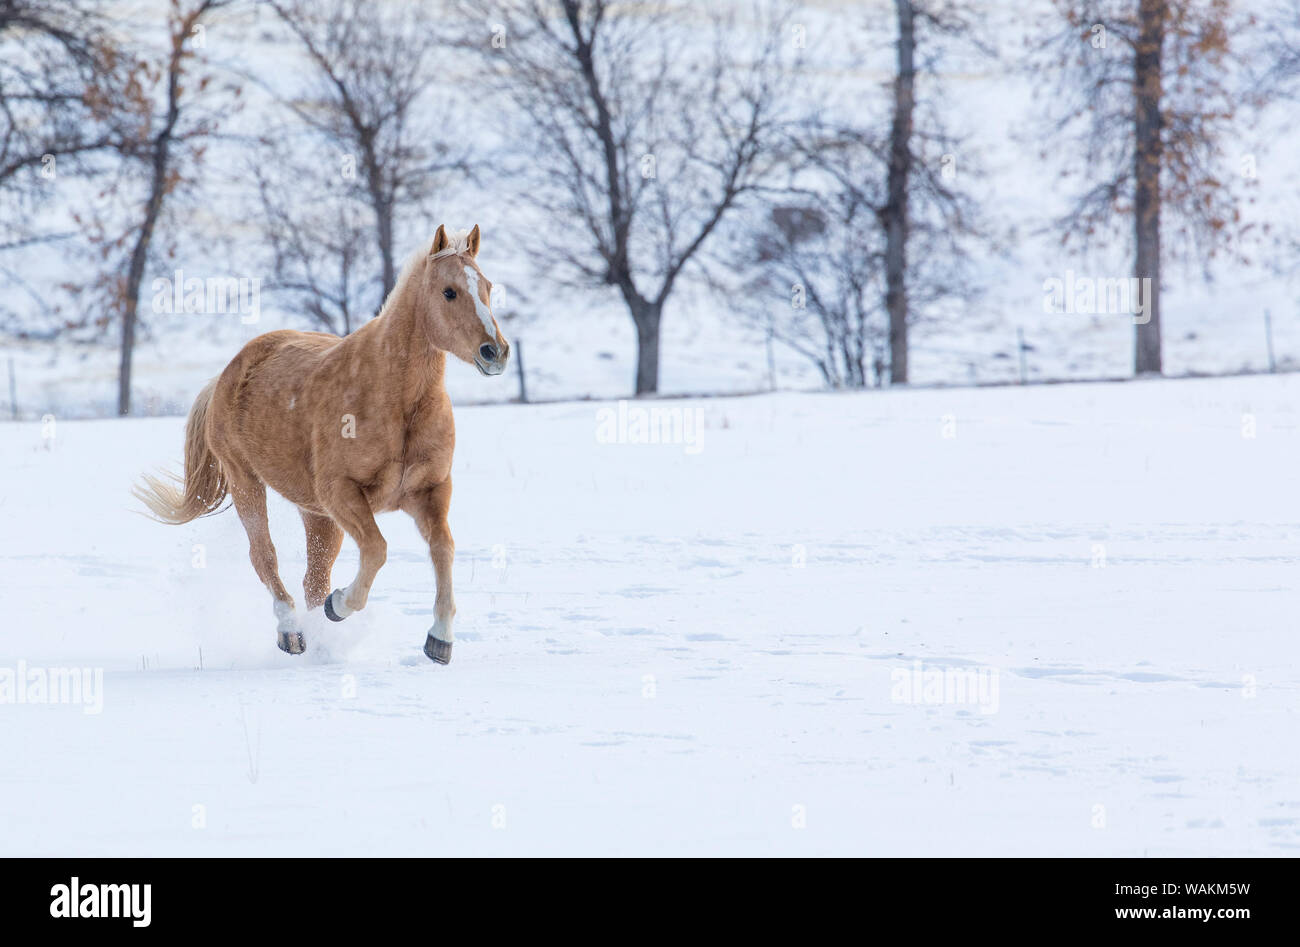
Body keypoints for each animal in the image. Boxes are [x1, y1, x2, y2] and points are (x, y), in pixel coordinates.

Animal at [134, 224, 510, 665]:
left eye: (487, 287)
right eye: (449, 292)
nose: (495, 352)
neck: (396, 401)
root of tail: (230, 370)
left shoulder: (430, 491)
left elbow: (443, 549)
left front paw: (440, 640)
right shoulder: (341, 491)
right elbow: (377, 549)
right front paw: (341, 605)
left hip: (316, 515)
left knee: (313, 577)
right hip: (247, 483)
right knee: (265, 558)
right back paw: (292, 633)